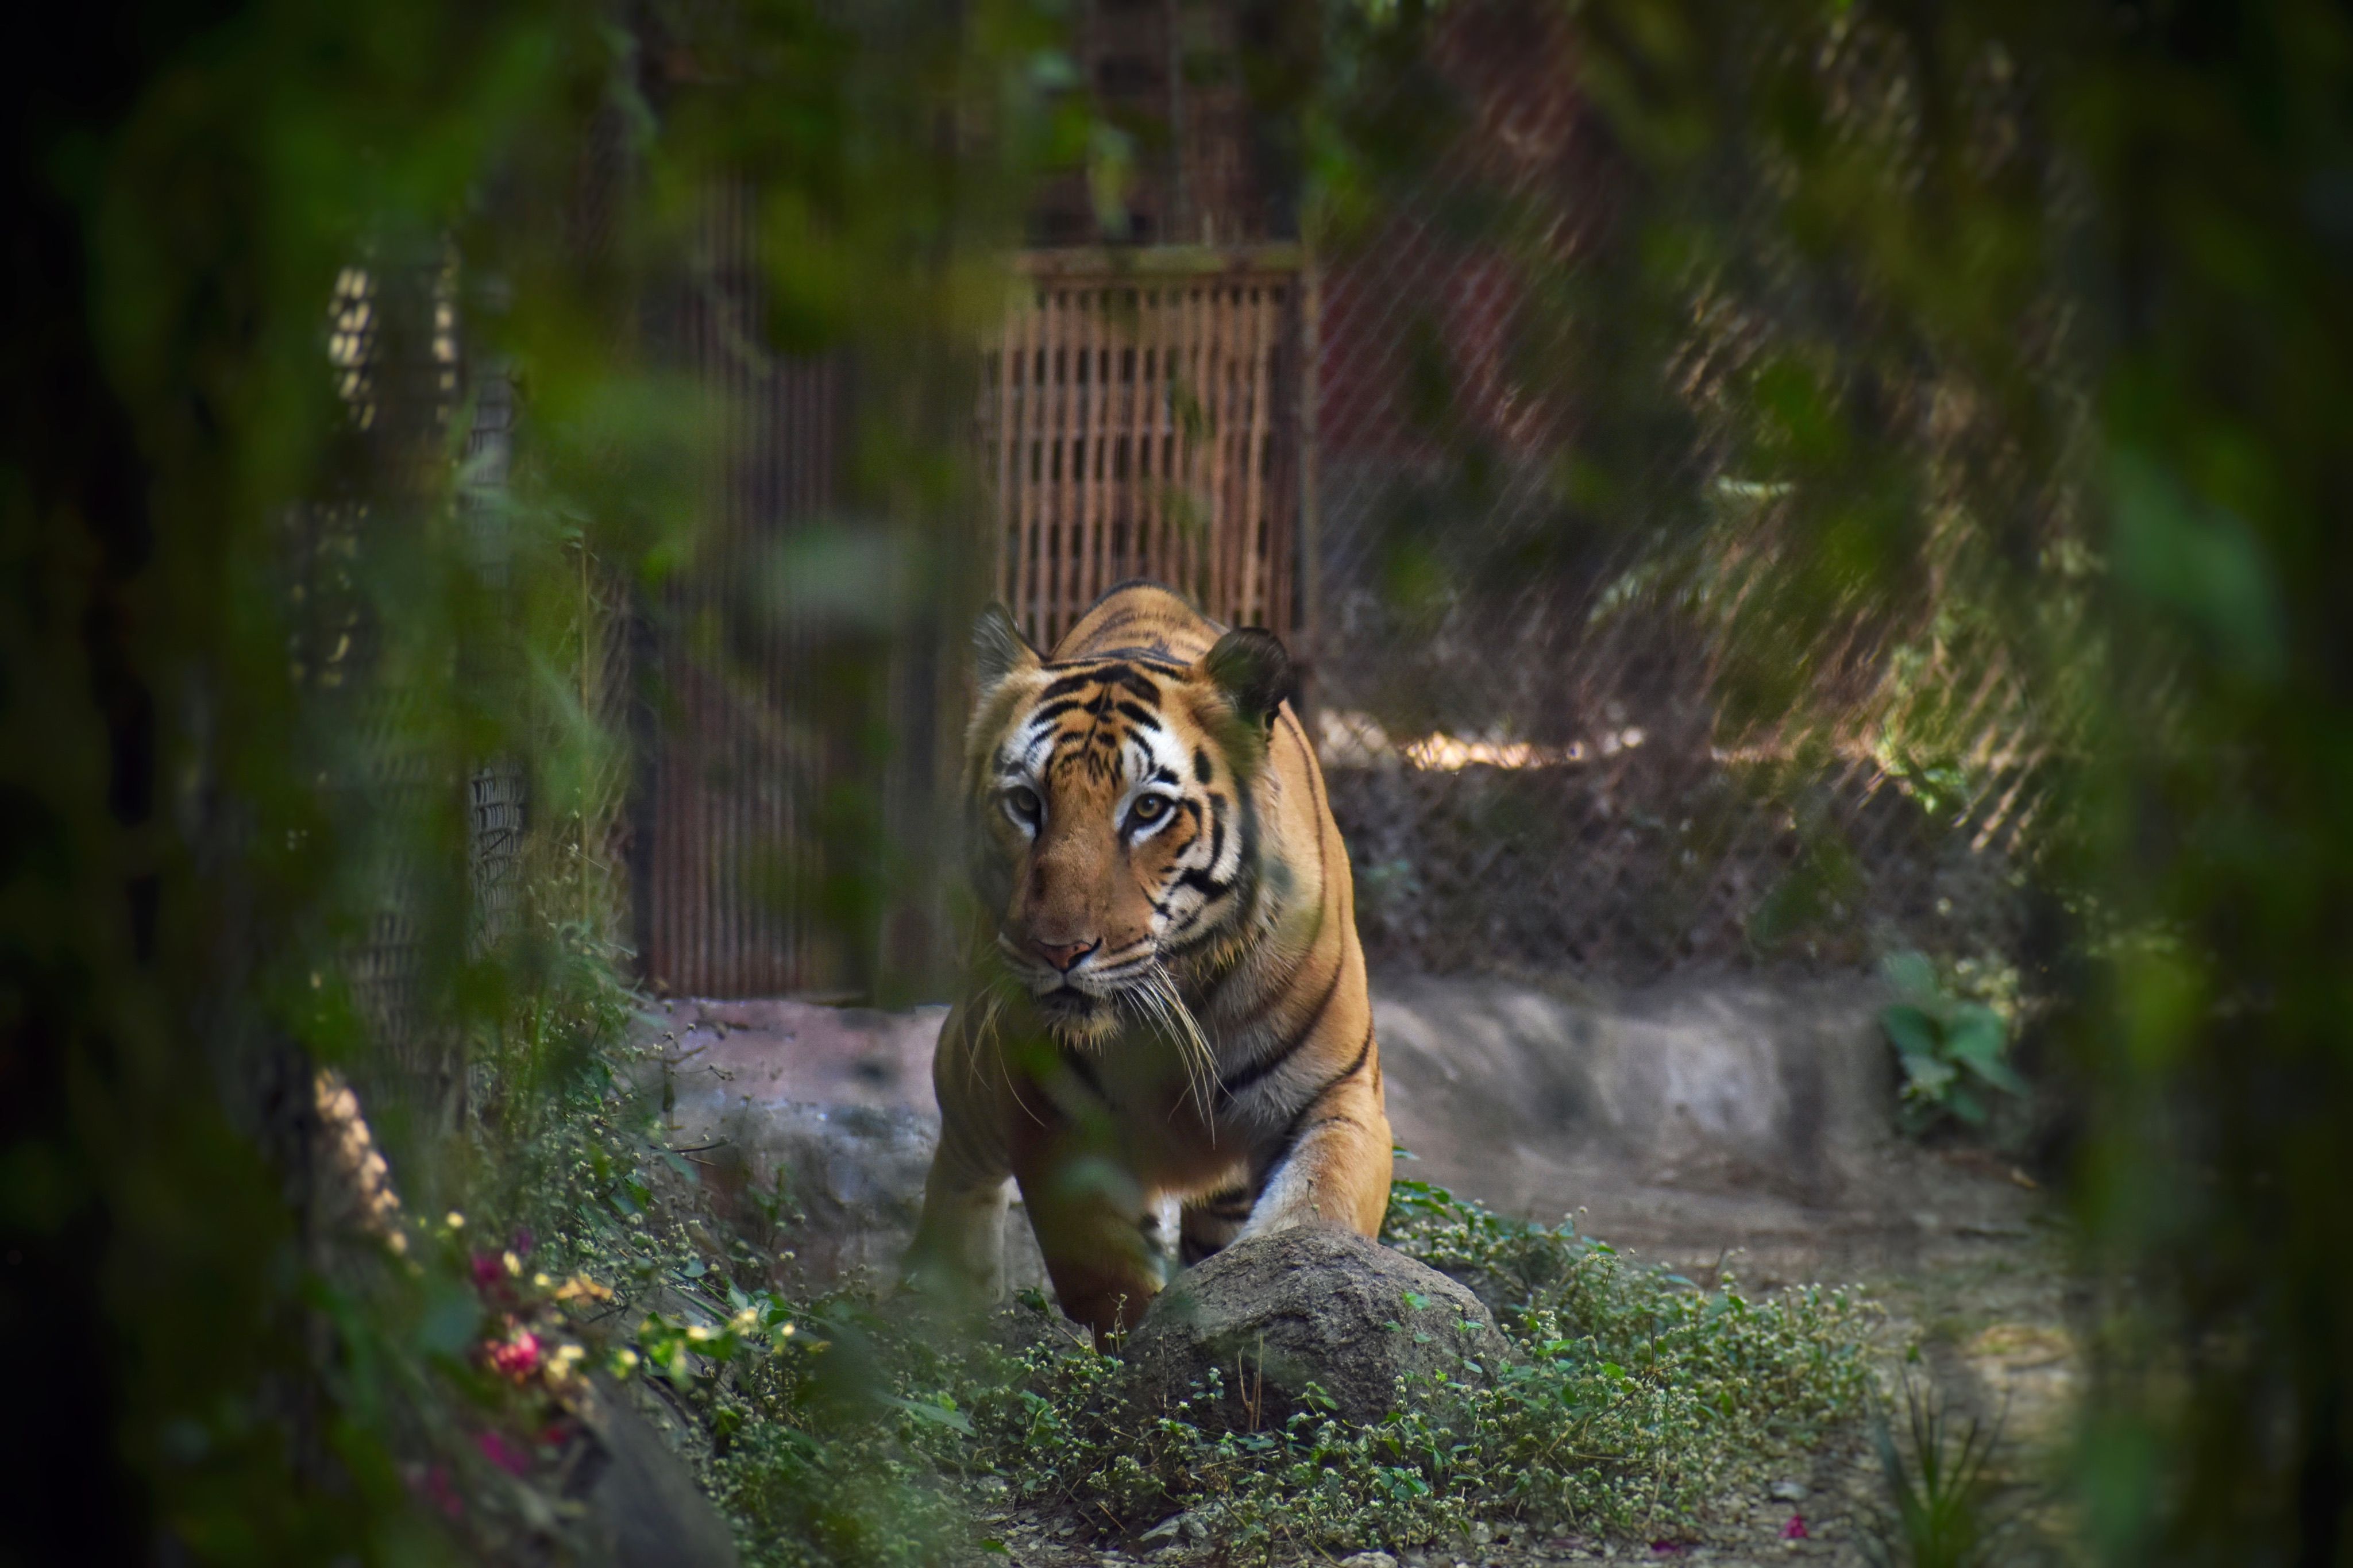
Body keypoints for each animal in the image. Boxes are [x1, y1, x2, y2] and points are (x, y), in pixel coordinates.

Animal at [902, 580, 1392, 1337]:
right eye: (1025, 803)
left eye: (1147, 811)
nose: (1059, 949)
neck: (1177, 995)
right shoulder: (1049, 1114)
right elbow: (1107, 1278)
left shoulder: (1338, 1094)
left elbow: (1314, 1217)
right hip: (976, 1067)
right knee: (958, 1165)